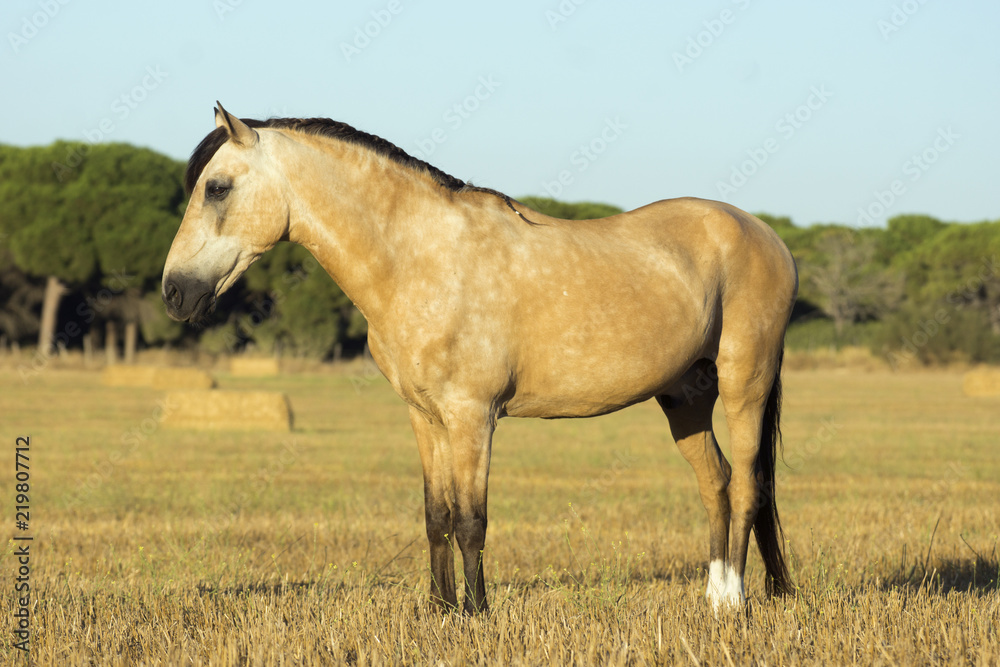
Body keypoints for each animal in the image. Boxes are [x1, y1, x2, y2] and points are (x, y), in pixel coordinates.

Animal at [162, 102, 799, 614]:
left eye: (217, 187)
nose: (174, 292)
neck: (422, 258)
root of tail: (764, 234)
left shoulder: (473, 416)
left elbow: (472, 520)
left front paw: (476, 612)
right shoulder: (426, 417)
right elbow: (437, 517)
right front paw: (441, 610)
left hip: (744, 384)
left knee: (748, 485)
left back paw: (734, 601)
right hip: (685, 397)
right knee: (717, 483)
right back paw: (715, 595)